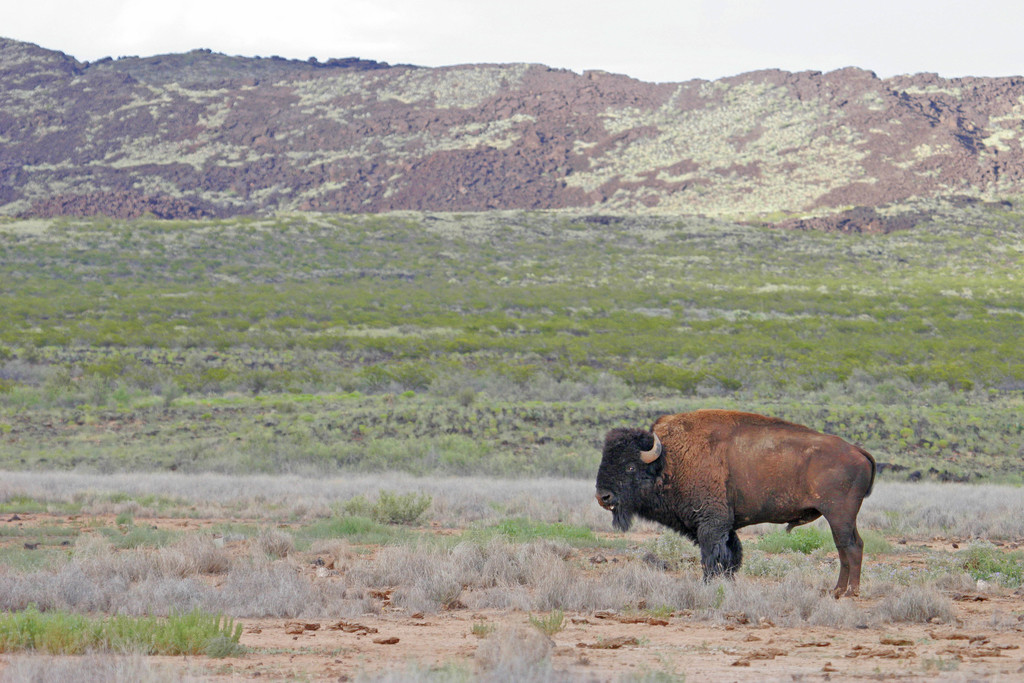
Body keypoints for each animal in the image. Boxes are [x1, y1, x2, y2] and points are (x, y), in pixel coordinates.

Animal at [596, 409, 875, 597]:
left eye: (630, 466)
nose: (603, 496)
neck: (669, 459)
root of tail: (856, 450)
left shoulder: (711, 524)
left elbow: (712, 557)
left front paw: (709, 585)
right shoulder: (727, 527)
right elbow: (731, 555)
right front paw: (728, 583)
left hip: (838, 515)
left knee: (849, 547)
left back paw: (849, 592)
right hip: (844, 518)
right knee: (851, 546)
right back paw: (837, 590)